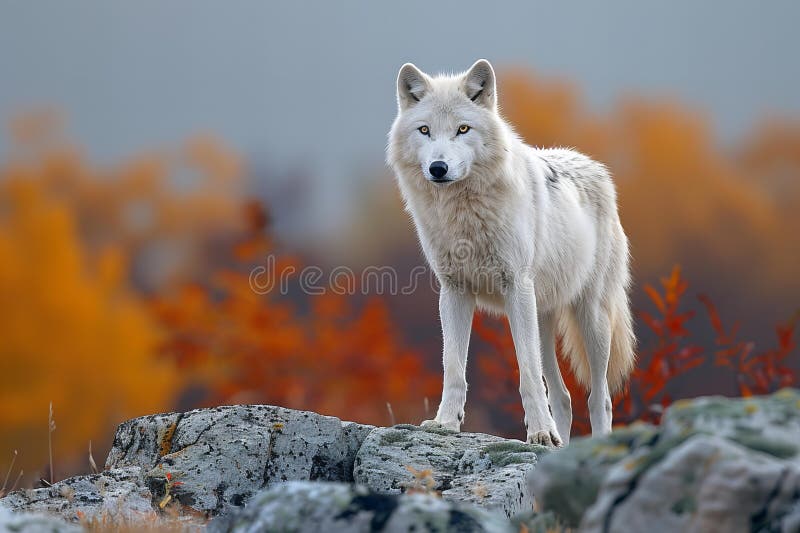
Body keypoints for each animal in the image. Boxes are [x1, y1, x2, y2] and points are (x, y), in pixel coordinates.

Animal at [386, 59, 635, 446]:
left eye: (462, 129)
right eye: (424, 130)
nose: (438, 168)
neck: (464, 216)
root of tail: (595, 166)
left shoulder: (516, 286)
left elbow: (528, 375)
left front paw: (540, 433)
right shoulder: (454, 291)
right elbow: (453, 368)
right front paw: (445, 423)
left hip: (590, 319)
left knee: (600, 398)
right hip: (543, 318)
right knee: (563, 397)